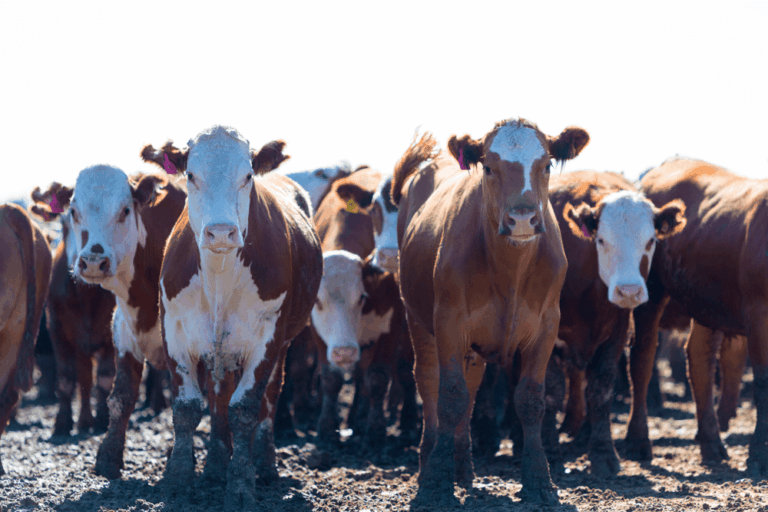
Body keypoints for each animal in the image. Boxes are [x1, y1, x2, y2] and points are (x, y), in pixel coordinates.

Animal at [52, 165, 186, 478]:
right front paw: (108, 456)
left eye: (125, 210)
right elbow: (120, 395)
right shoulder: (123, 333)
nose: (92, 261)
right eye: (74, 211)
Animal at [141, 125, 322, 509]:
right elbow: (188, 407)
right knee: (217, 397)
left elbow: (245, 410)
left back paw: (264, 466)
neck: (220, 276)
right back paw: (213, 466)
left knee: (268, 399)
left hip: (280, 345)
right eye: (191, 175)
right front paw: (178, 481)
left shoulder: (267, 336)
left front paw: (240, 484)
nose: (221, 232)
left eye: (248, 176)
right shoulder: (174, 330)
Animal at [394, 118, 589, 504]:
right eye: (488, 167)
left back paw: (463, 469)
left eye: (546, 165)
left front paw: (539, 480)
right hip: (417, 319)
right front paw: (436, 481)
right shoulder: (448, 321)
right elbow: (450, 396)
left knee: (471, 387)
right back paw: (429, 463)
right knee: (429, 382)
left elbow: (530, 399)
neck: (509, 270)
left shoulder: (547, 325)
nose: (522, 218)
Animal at [627, 156, 768, 476]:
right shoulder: (758, 313)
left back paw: (711, 442)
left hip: (706, 300)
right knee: (642, 358)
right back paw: (638, 441)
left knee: (699, 358)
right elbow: (764, 383)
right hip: (650, 289)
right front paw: (758, 454)